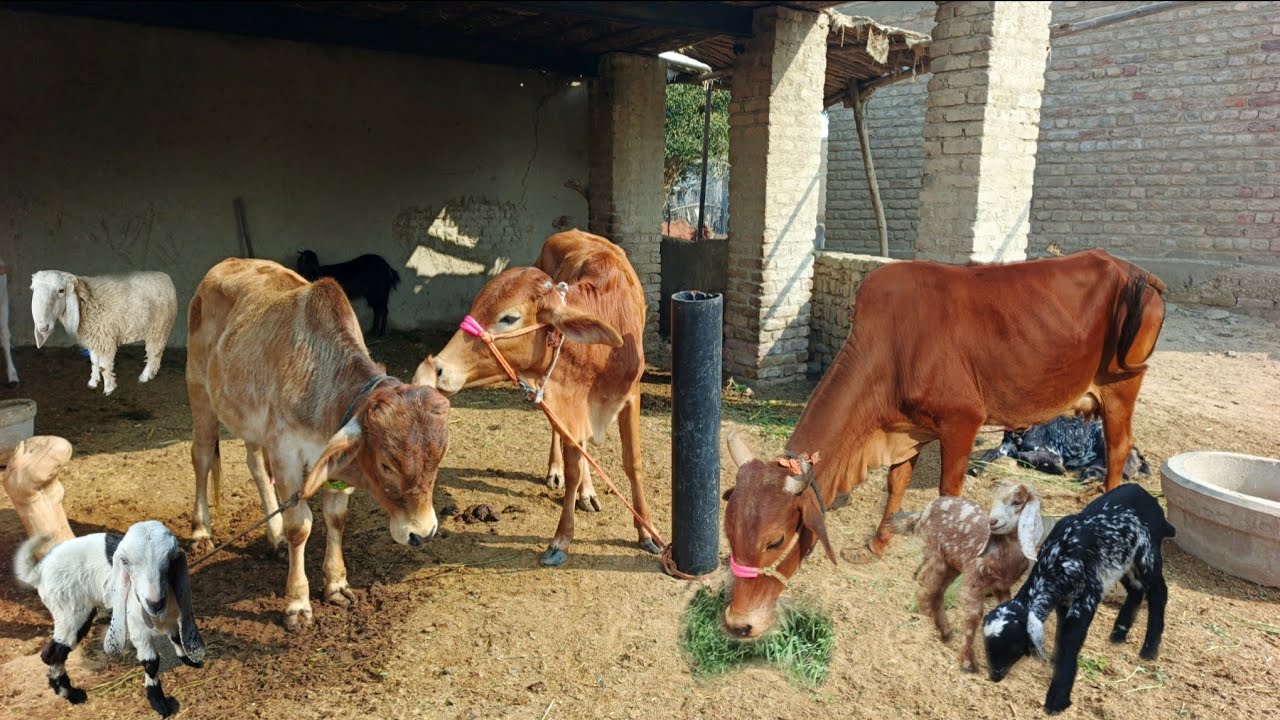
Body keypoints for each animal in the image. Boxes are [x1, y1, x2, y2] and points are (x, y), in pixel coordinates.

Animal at [186, 258, 450, 630]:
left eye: (438, 461)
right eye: (387, 464)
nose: (422, 533)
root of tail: (226, 264)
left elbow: (336, 517)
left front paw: (336, 584)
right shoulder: (285, 452)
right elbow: (301, 525)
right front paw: (297, 603)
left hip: (251, 422)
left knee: (256, 468)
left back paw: (275, 536)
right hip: (199, 391)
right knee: (202, 457)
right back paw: (200, 532)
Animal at [414, 229, 659, 567]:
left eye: (509, 317)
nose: (433, 370)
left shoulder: (631, 395)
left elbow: (632, 462)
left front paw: (647, 532)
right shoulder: (564, 400)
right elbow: (573, 467)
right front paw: (561, 540)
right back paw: (566, 478)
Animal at [721, 249, 1166, 638]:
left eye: (775, 540)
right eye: (729, 533)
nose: (738, 623)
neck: (892, 347)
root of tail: (1135, 271)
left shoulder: (961, 422)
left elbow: (947, 494)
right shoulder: (907, 431)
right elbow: (896, 484)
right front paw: (877, 545)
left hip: (1122, 386)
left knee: (1119, 450)